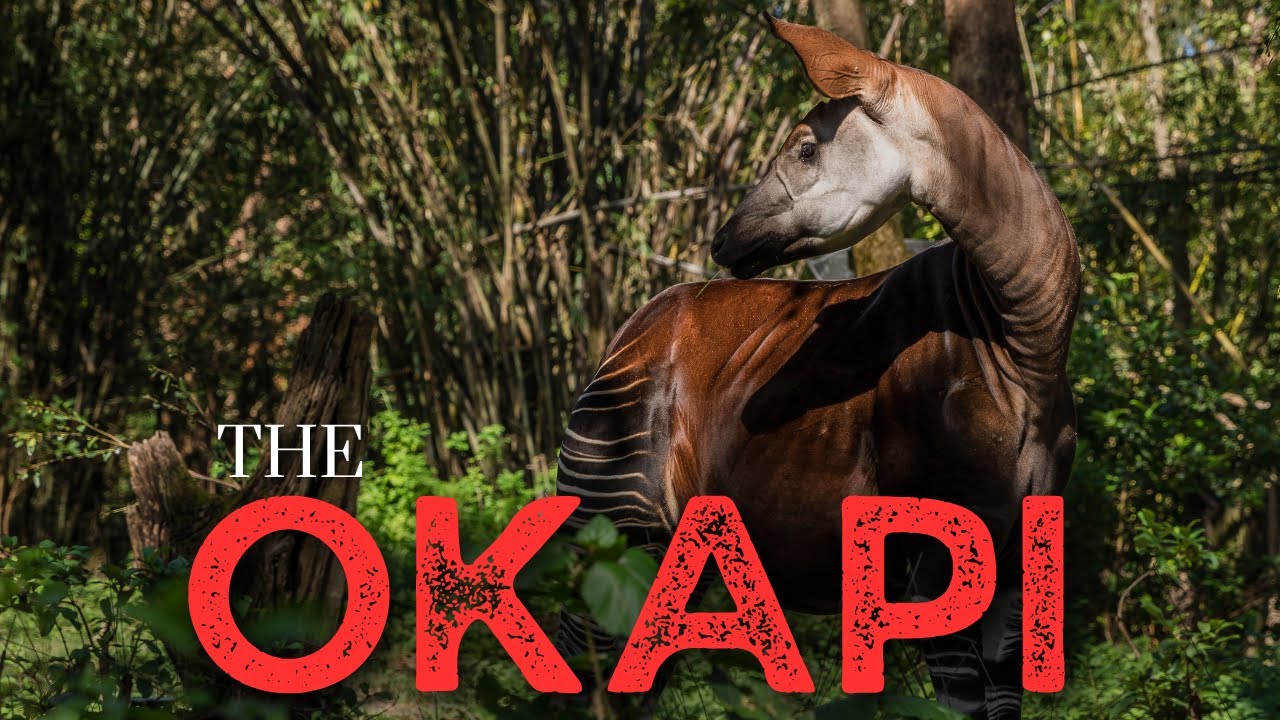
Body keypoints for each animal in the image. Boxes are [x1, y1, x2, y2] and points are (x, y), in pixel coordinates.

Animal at [554, 14, 1080, 719]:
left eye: (805, 149)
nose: (721, 241)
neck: (1027, 347)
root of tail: (630, 331)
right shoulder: (933, 560)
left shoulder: (1016, 560)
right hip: (611, 518)